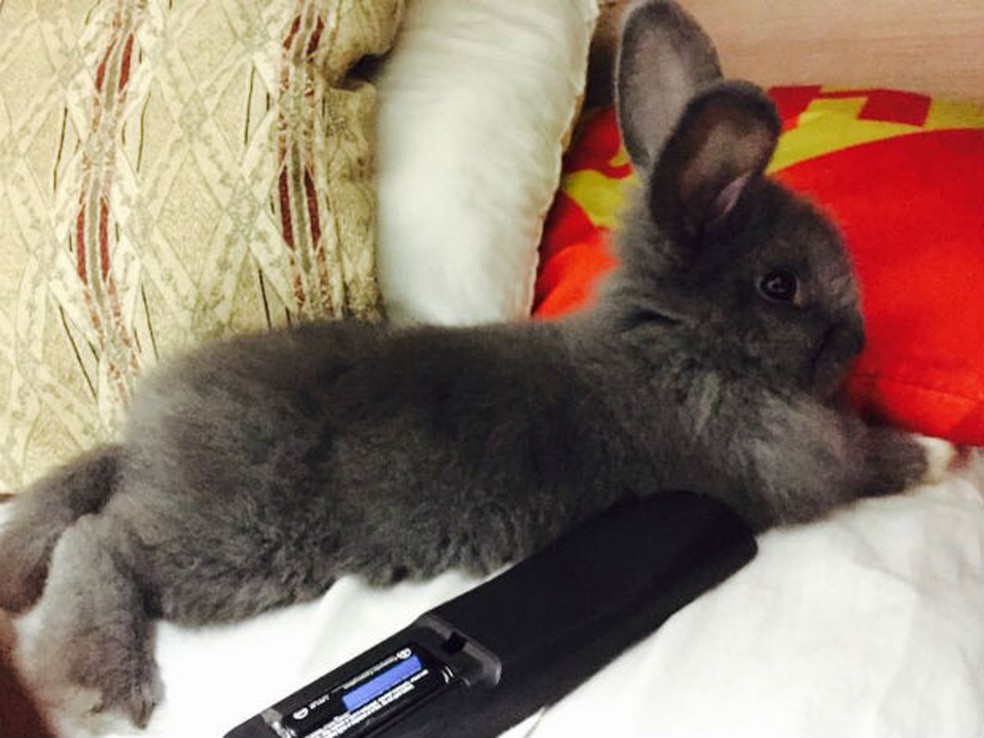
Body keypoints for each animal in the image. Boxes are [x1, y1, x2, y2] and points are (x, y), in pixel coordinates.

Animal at [0, 0, 936, 729]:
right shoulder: (790, 473)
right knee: (100, 541)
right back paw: (100, 685)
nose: (856, 342)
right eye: (781, 285)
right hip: (236, 543)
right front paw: (922, 457)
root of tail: (146, 438)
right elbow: (862, 463)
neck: (677, 343)